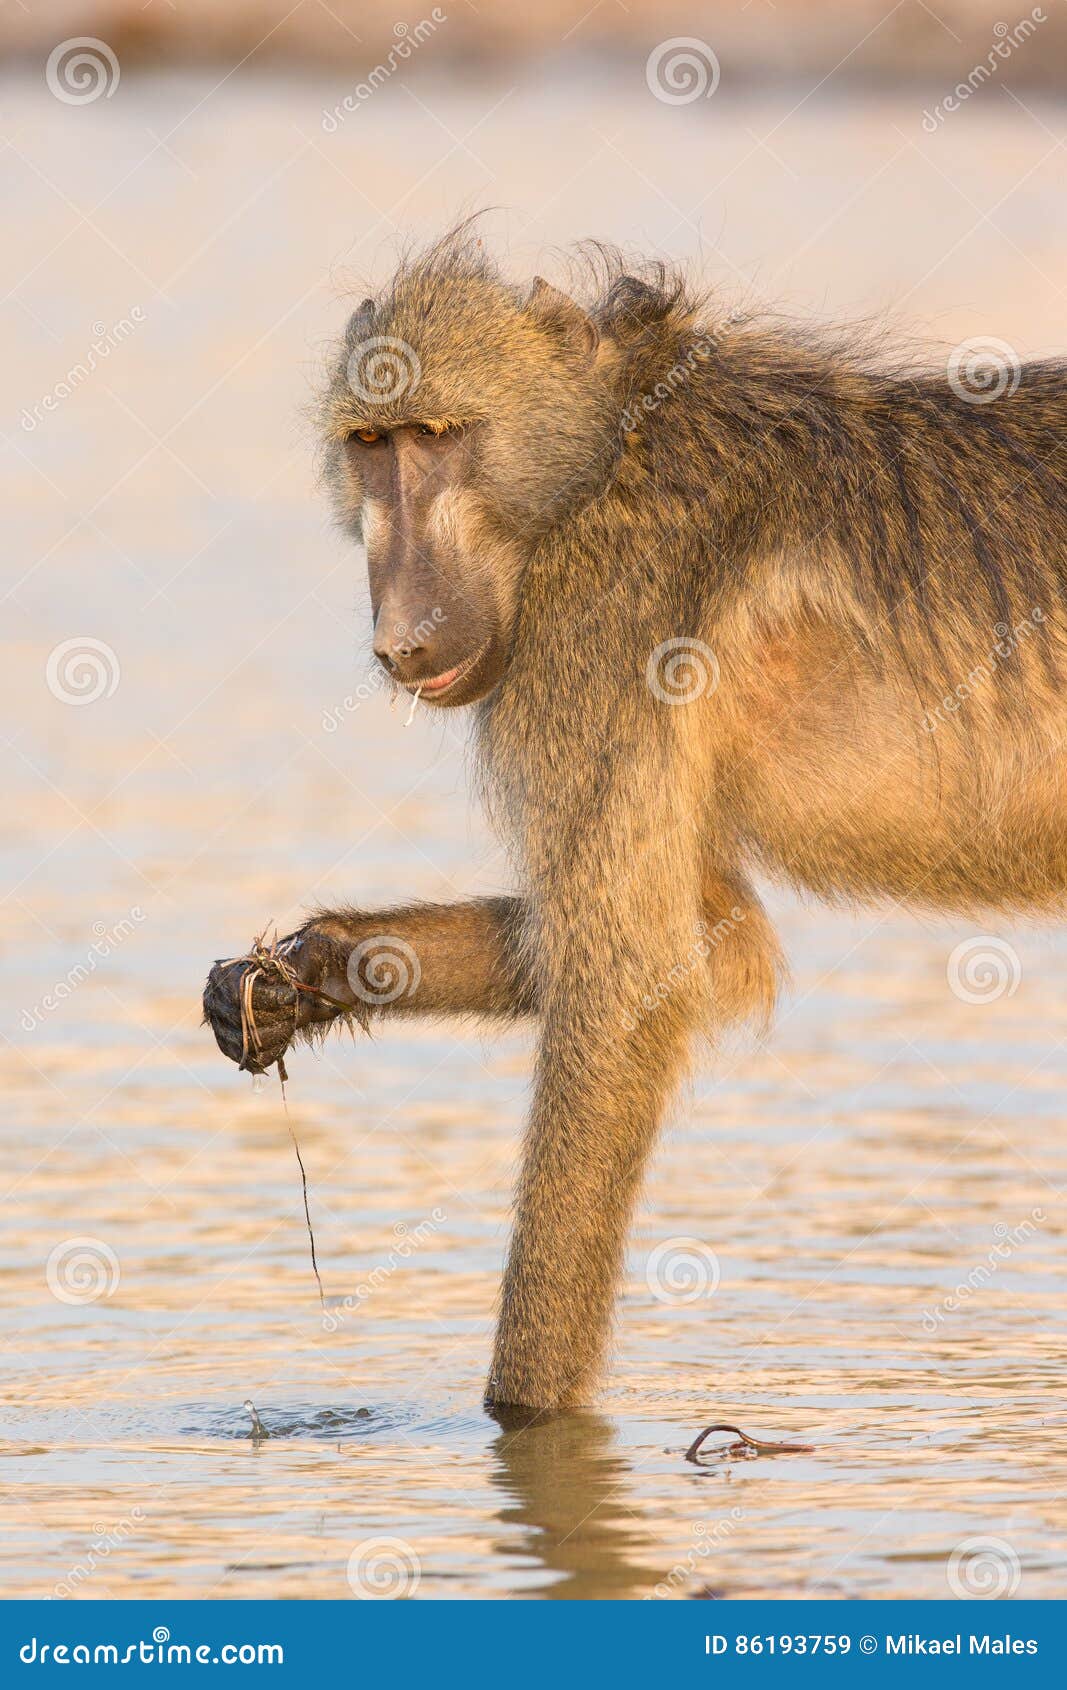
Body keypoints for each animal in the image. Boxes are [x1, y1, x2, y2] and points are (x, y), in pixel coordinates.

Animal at [204, 226, 1067, 1412]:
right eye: (371, 445)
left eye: (437, 437)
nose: (401, 633)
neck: (604, 449)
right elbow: (707, 945)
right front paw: (299, 972)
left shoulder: (592, 626)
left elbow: (626, 978)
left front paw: (521, 1424)